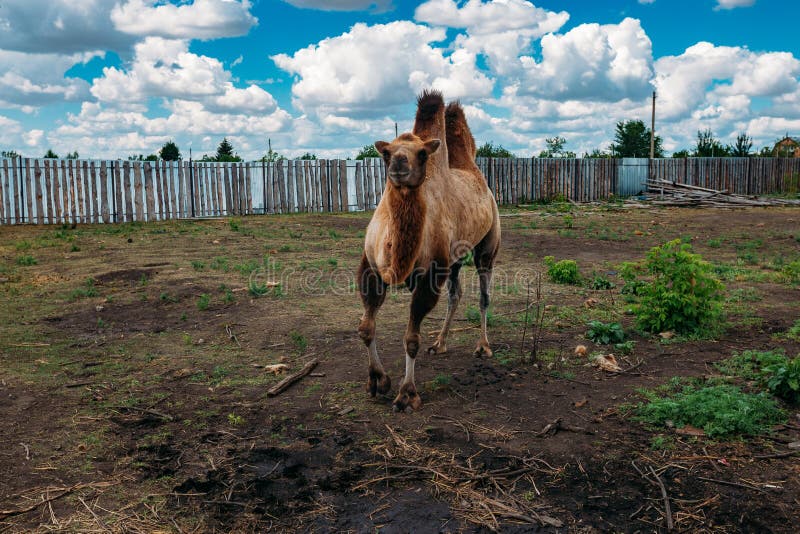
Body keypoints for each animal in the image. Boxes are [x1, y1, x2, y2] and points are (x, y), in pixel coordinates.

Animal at [357, 90, 501, 412]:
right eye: (386, 153)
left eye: (422, 153)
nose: (399, 164)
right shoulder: (371, 268)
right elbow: (366, 328)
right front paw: (377, 381)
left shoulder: (430, 274)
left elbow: (411, 338)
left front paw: (407, 394)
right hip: (456, 258)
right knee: (455, 294)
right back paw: (440, 343)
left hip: (487, 246)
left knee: (484, 296)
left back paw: (483, 347)